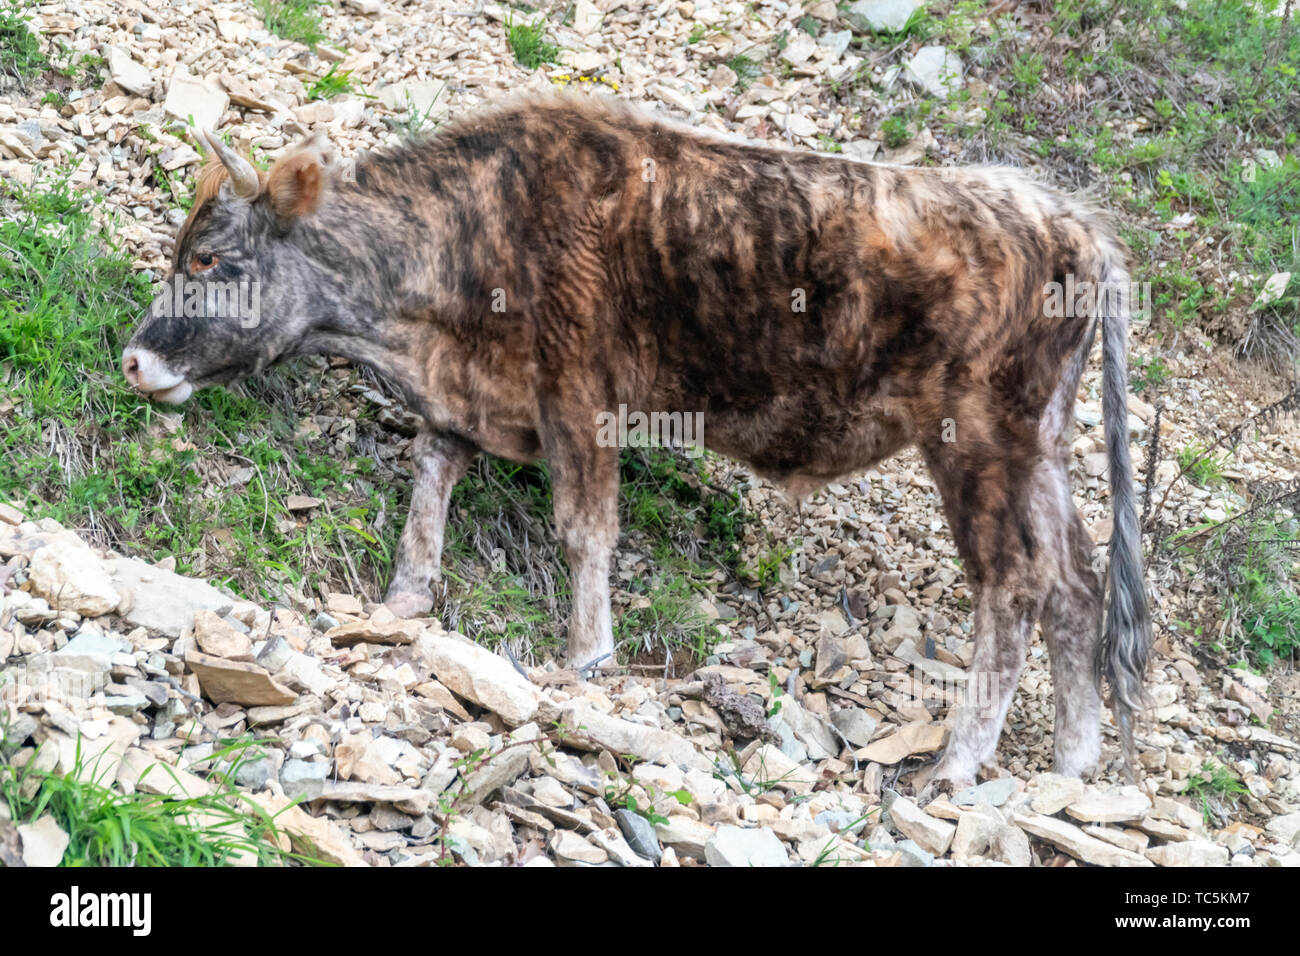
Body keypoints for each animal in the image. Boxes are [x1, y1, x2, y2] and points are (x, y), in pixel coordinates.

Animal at [122, 93, 1151, 791]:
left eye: (211, 258)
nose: (133, 360)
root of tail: (1069, 218)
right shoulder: (472, 394)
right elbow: (432, 475)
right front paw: (403, 600)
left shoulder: (581, 395)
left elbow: (584, 528)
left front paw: (584, 658)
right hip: (1041, 451)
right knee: (1076, 585)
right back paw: (1071, 765)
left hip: (979, 441)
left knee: (1014, 587)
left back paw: (956, 765)